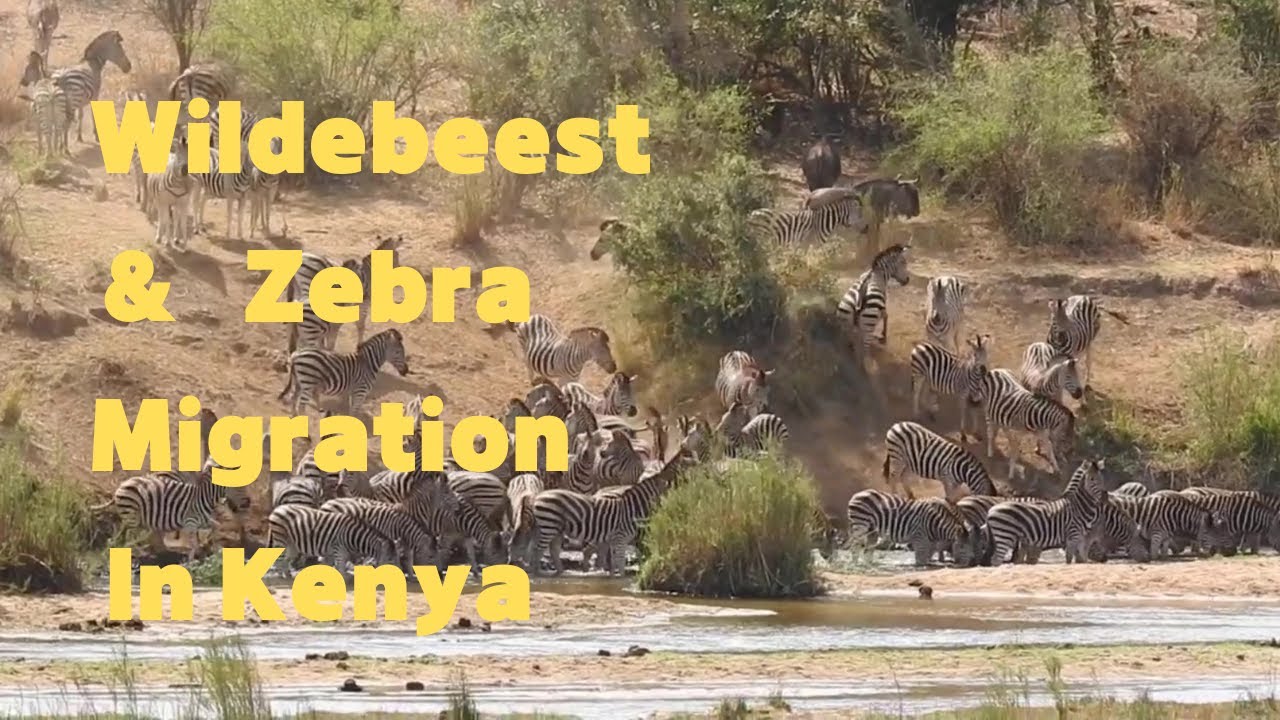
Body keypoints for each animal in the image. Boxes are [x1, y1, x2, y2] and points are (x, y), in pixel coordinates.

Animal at [267, 504, 397, 577]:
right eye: (390, 559)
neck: (353, 537)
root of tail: (277, 508)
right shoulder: (339, 550)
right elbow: (341, 569)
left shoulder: (332, 552)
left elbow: (330, 565)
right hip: (281, 539)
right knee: (280, 557)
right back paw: (280, 574)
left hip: (292, 543)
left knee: (287, 558)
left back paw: (287, 574)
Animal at [278, 328, 411, 416]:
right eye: (398, 352)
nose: (406, 370)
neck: (368, 363)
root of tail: (296, 355)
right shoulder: (361, 391)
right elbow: (354, 411)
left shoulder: (355, 392)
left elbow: (352, 410)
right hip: (308, 383)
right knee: (301, 406)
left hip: (299, 382)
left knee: (294, 399)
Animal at [487, 314, 617, 384]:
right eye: (601, 350)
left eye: (609, 348)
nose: (614, 368)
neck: (576, 359)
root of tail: (531, 317)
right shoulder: (563, 380)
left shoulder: (575, 379)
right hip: (523, 346)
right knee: (528, 364)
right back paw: (532, 382)